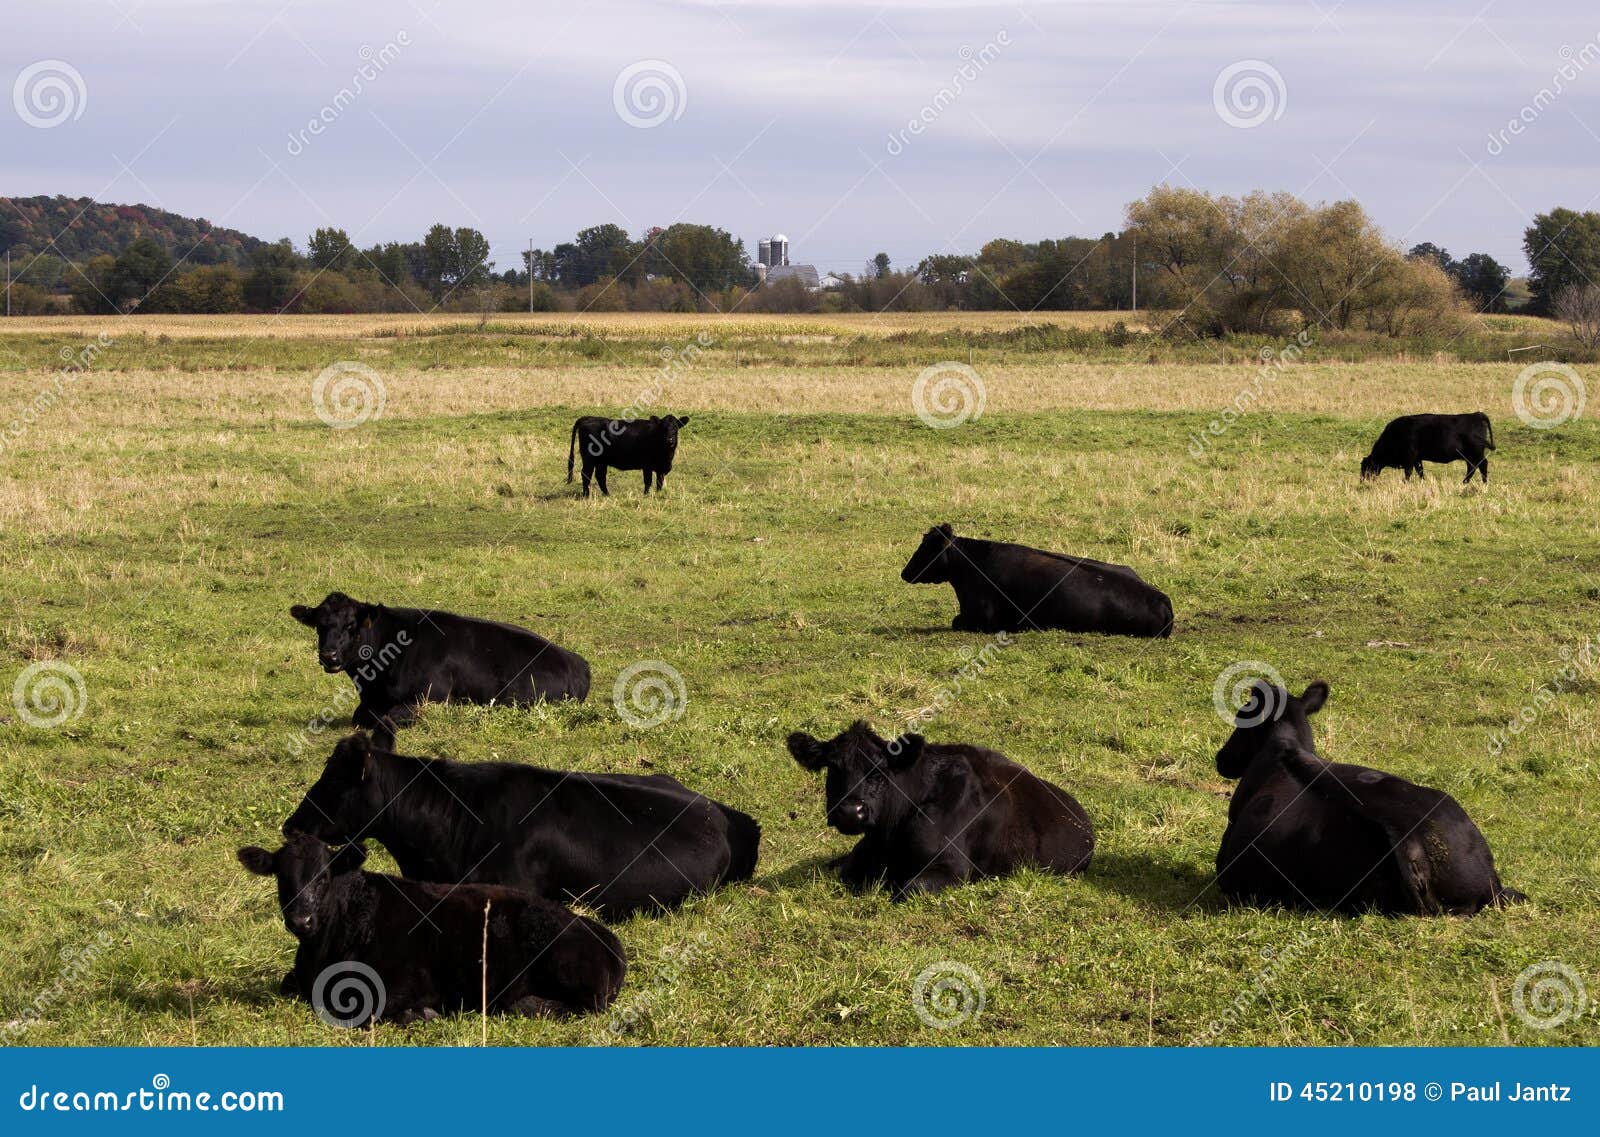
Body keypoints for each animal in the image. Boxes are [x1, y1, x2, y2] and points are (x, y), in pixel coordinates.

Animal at [289, 592, 590, 748]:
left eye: (351, 625)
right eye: (319, 625)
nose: (328, 655)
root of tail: (576, 662)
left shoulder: (428, 700)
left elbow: (385, 718)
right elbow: (360, 716)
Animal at [786, 721, 1094, 899]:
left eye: (879, 770)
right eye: (833, 767)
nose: (851, 811)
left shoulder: (954, 867)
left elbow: (908, 889)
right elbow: (845, 872)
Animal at [1360, 412, 1495, 483]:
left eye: (1366, 468)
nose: (1362, 481)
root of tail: (1477, 414)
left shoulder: (1409, 457)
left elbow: (1408, 472)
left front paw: (1405, 483)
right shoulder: (1417, 459)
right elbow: (1420, 471)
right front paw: (1422, 482)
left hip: (1475, 454)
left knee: (1482, 465)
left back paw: (1482, 482)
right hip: (1469, 456)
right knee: (1472, 467)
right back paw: (1466, 482)